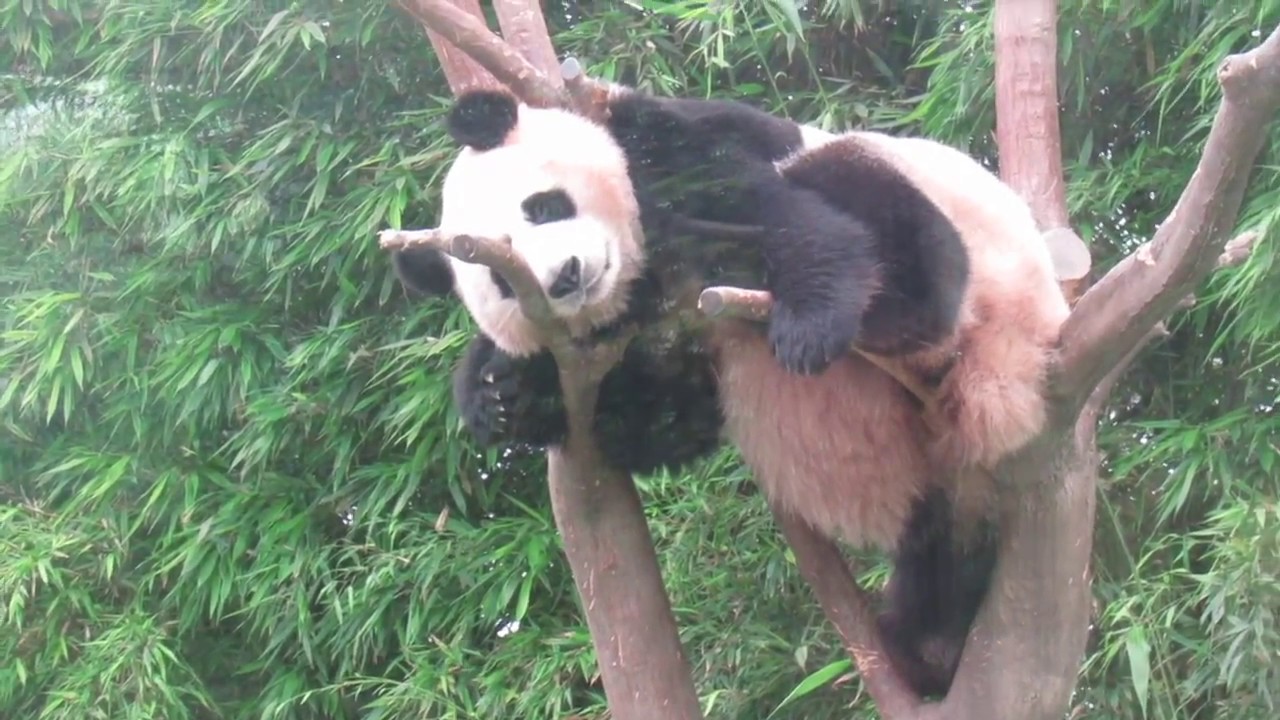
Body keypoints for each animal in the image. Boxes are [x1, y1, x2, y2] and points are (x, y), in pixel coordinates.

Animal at [391, 86, 1070, 698]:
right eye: (504, 284)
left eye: (542, 207)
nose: (565, 276)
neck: (640, 276)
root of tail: (1005, 385)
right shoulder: (643, 339)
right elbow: (656, 421)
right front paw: (499, 390)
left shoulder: (672, 144)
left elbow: (779, 214)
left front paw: (807, 319)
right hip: (948, 490)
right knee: (940, 560)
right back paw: (928, 650)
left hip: (987, 273)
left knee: (880, 214)